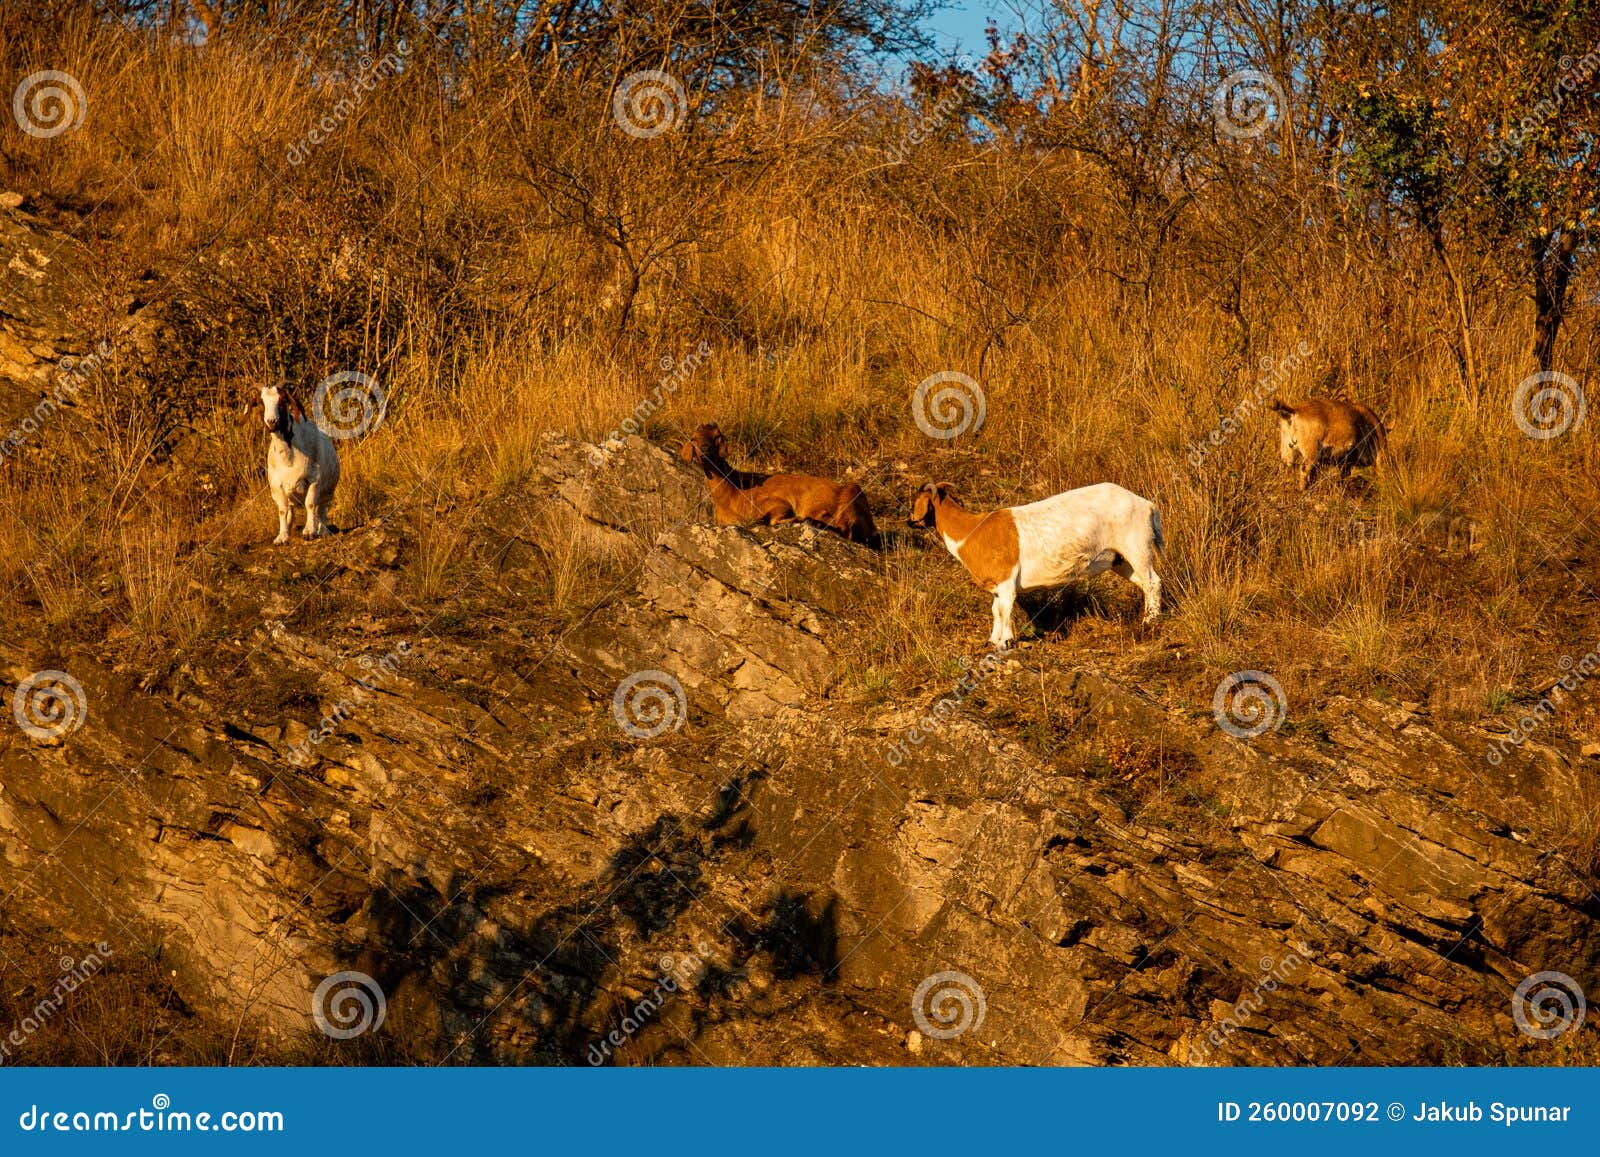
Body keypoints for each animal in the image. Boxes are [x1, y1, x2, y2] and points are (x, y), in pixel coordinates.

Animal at [244, 383, 340, 544]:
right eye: (261, 402)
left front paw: (309, 531)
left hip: (327, 492)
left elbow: (310, 504)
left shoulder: (315, 480)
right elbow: (283, 511)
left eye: (282, 401)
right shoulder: (277, 487)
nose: (271, 421)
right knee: (291, 510)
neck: (290, 458)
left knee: (321, 509)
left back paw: (322, 530)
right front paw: (282, 536)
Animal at [678, 423, 878, 545]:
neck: (732, 492)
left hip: (853, 492)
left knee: (846, 530)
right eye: (694, 438)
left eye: (717, 437)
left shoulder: (773, 502)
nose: (704, 450)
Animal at [908, 480, 1162, 649]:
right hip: (1119, 560)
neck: (971, 532)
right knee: (1146, 584)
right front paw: (992, 640)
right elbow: (995, 610)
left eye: (916, 502)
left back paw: (1149, 622)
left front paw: (1005, 642)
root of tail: (1147, 505)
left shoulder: (1007, 581)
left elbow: (1004, 609)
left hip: (1136, 546)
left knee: (1153, 582)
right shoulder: (997, 586)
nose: (909, 521)